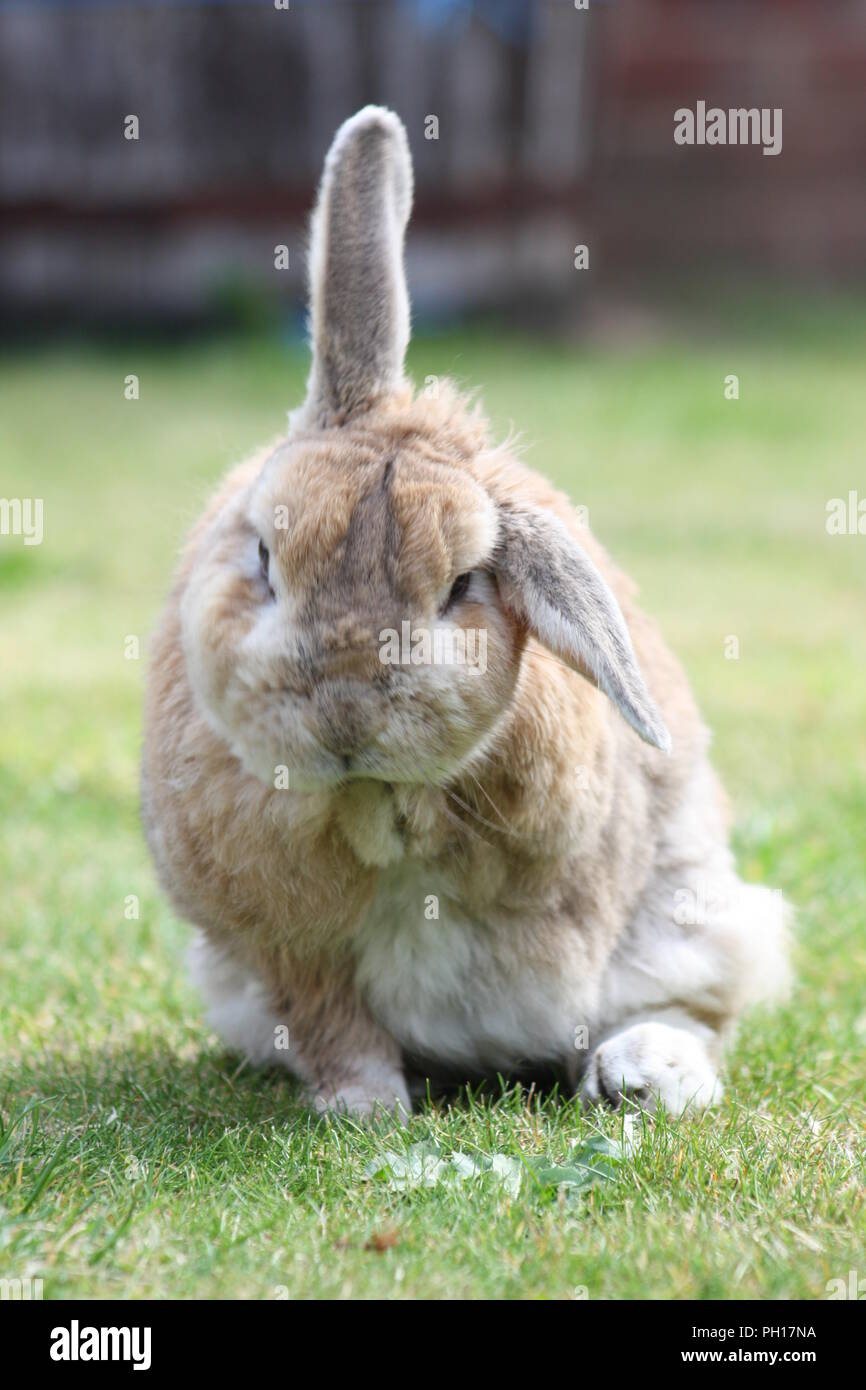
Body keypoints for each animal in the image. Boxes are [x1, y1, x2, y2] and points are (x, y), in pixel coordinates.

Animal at [142, 106, 791, 1120]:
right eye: (265, 561)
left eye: (458, 588)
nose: (345, 715)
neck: (369, 796)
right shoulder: (284, 954)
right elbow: (334, 1026)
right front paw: (365, 1109)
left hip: (688, 912)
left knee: (684, 1009)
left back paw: (644, 1075)